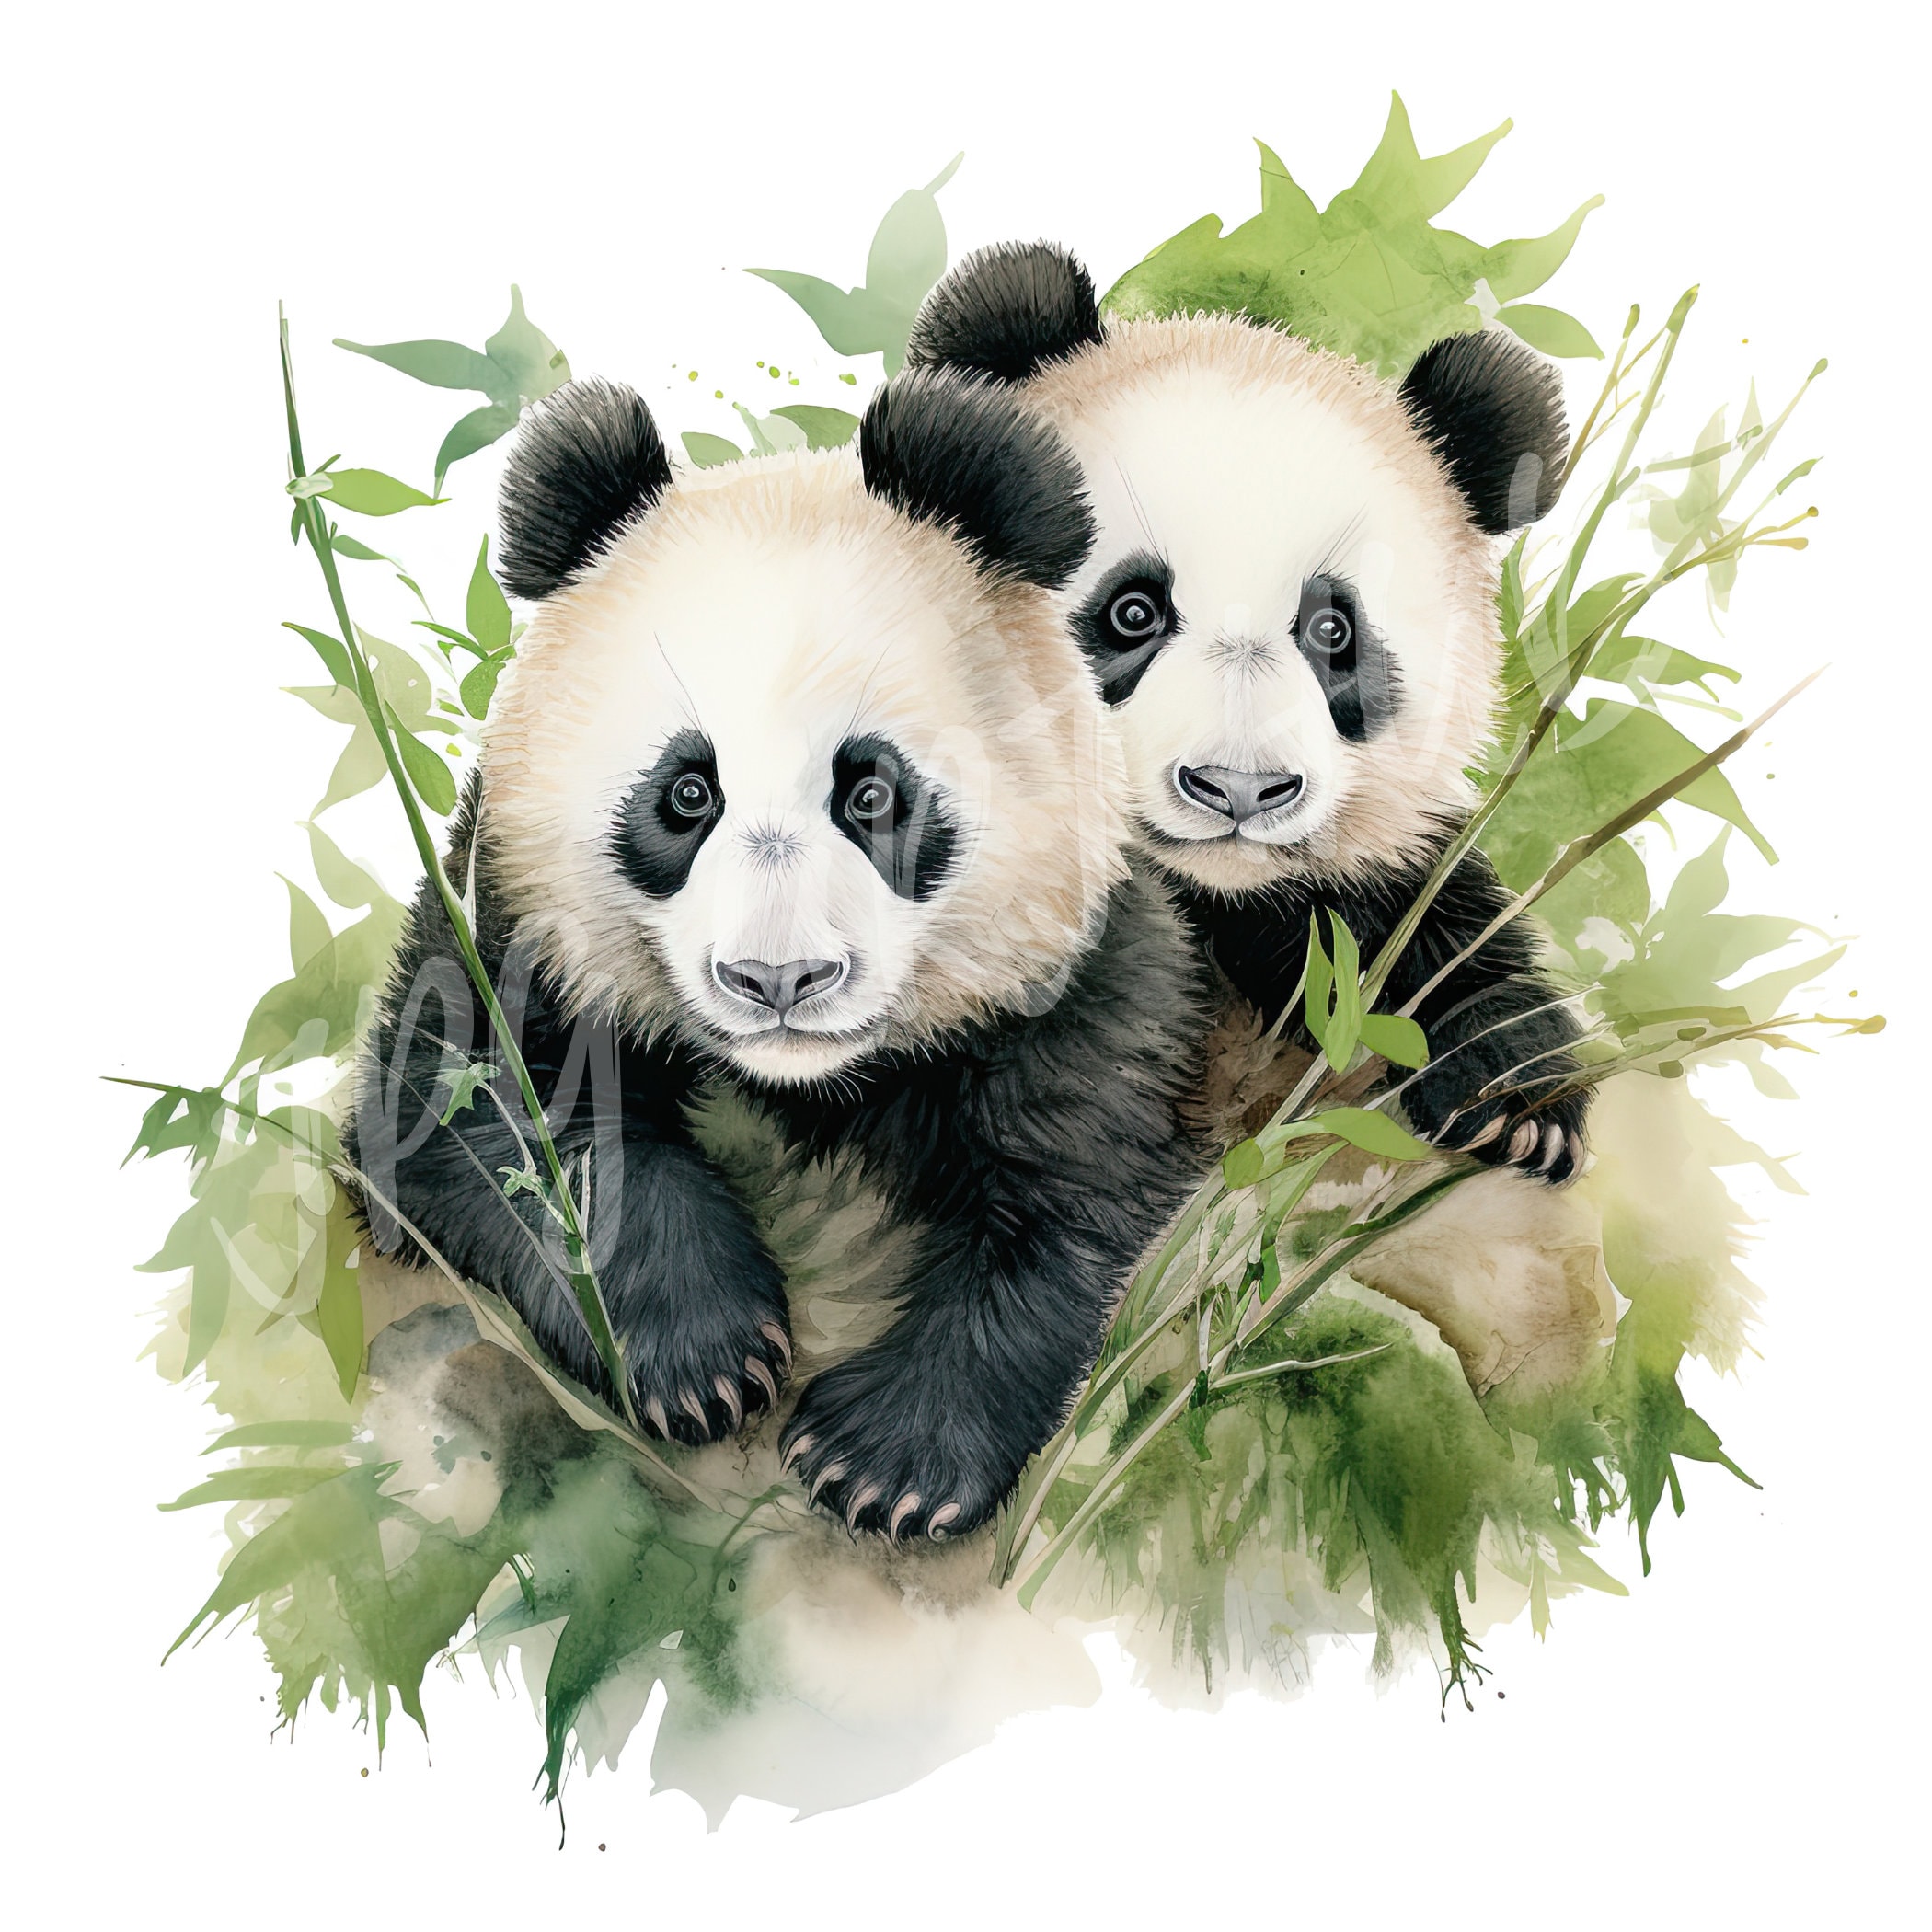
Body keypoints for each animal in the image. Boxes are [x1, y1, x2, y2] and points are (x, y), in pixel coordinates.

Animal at [348, 366, 1206, 1540]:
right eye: (687, 793)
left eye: (872, 792)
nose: (779, 982)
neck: (809, 1083)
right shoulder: (504, 922)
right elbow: (470, 1114)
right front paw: (699, 1352)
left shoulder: (1086, 970)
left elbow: (1075, 1203)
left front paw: (883, 1462)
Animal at [904, 244, 1590, 1182]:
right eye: (1132, 611)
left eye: (1333, 629)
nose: (1236, 788)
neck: (1212, 900)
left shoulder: (1367, 879)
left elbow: (1447, 940)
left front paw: (1521, 1108)